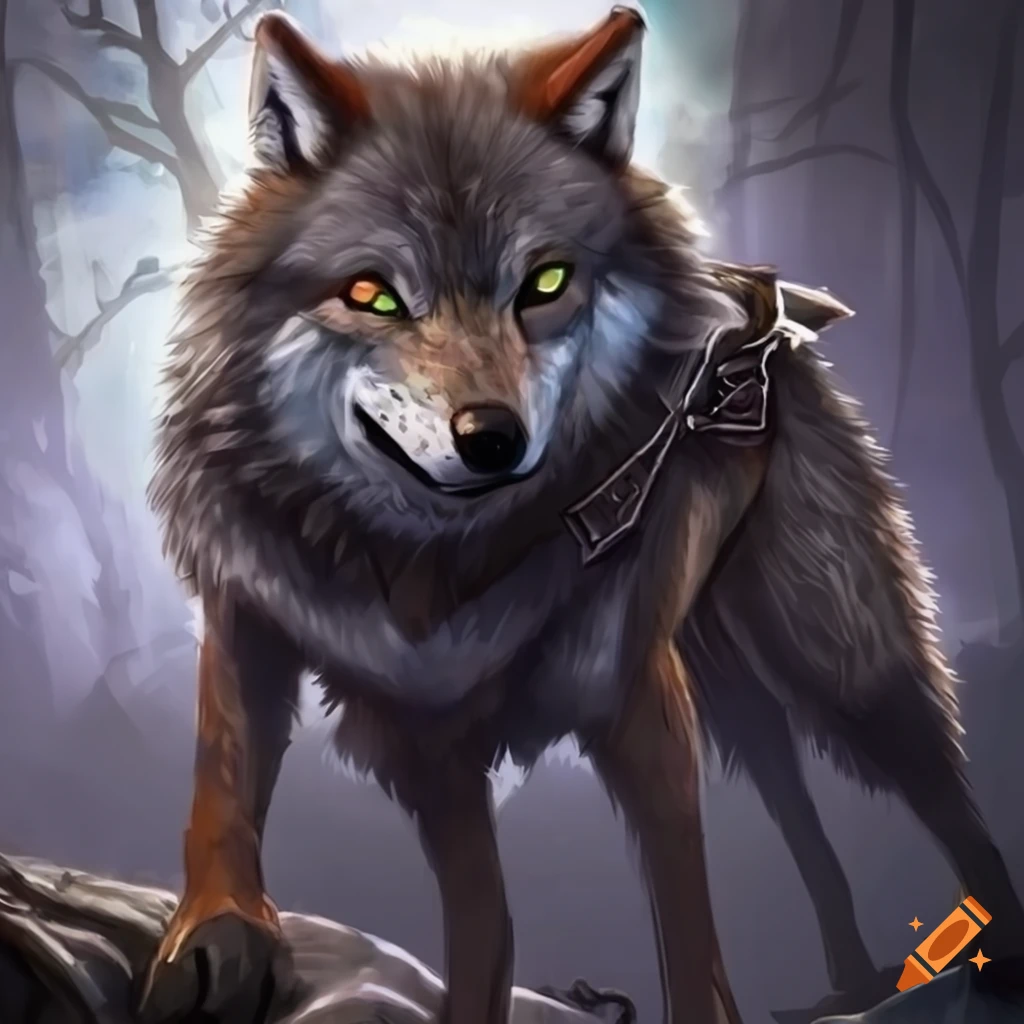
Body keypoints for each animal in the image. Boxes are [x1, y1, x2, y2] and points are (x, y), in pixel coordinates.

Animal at [142, 7, 1024, 1024]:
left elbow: (685, 930)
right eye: (373, 293)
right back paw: (849, 981)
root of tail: (767, 302)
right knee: (796, 809)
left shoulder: (634, 707)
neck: (430, 565)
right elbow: (227, 788)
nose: (493, 439)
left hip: (837, 663)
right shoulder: (330, 671)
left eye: (546, 282)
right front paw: (215, 939)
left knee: (947, 794)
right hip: (733, 696)